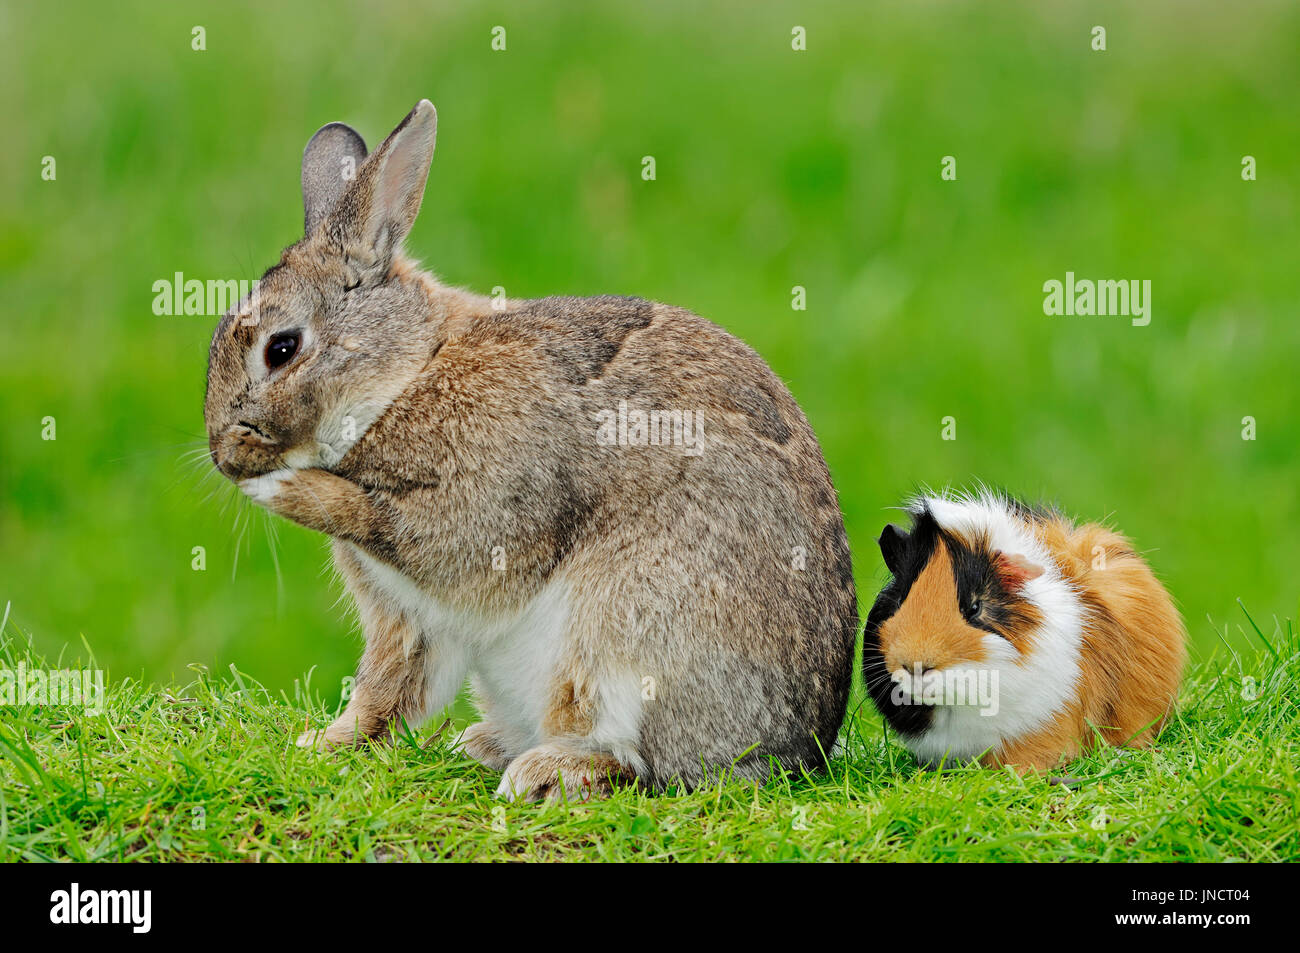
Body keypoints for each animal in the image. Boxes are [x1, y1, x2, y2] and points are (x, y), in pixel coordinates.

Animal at [204, 100, 859, 801]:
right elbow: (384, 692)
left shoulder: (481, 513)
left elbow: (407, 532)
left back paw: (546, 772)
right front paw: (323, 747)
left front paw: (283, 490)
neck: (411, 372)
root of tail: (800, 752)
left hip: (625, 634)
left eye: (282, 348)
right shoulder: (405, 619)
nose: (225, 457)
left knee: (640, 766)